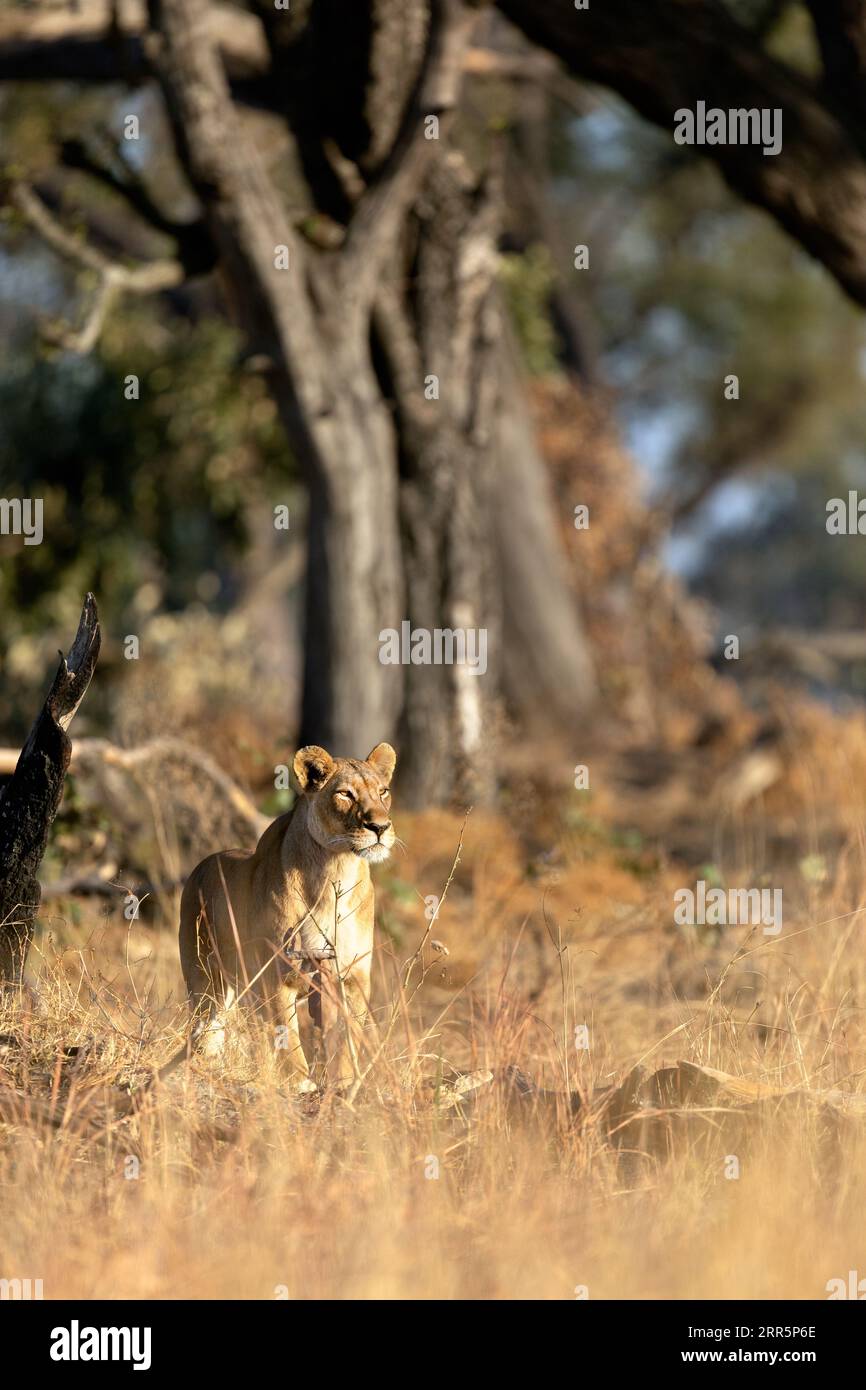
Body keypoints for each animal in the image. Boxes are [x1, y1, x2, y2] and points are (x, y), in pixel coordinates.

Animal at [164, 742, 397, 1092]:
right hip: (206, 981)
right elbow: (288, 1036)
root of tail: (200, 866)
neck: (335, 869)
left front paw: (344, 1084)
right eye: (345, 794)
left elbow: (347, 1038)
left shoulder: (353, 976)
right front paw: (301, 1083)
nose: (380, 828)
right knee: (209, 1028)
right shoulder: (277, 975)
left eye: (383, 791)